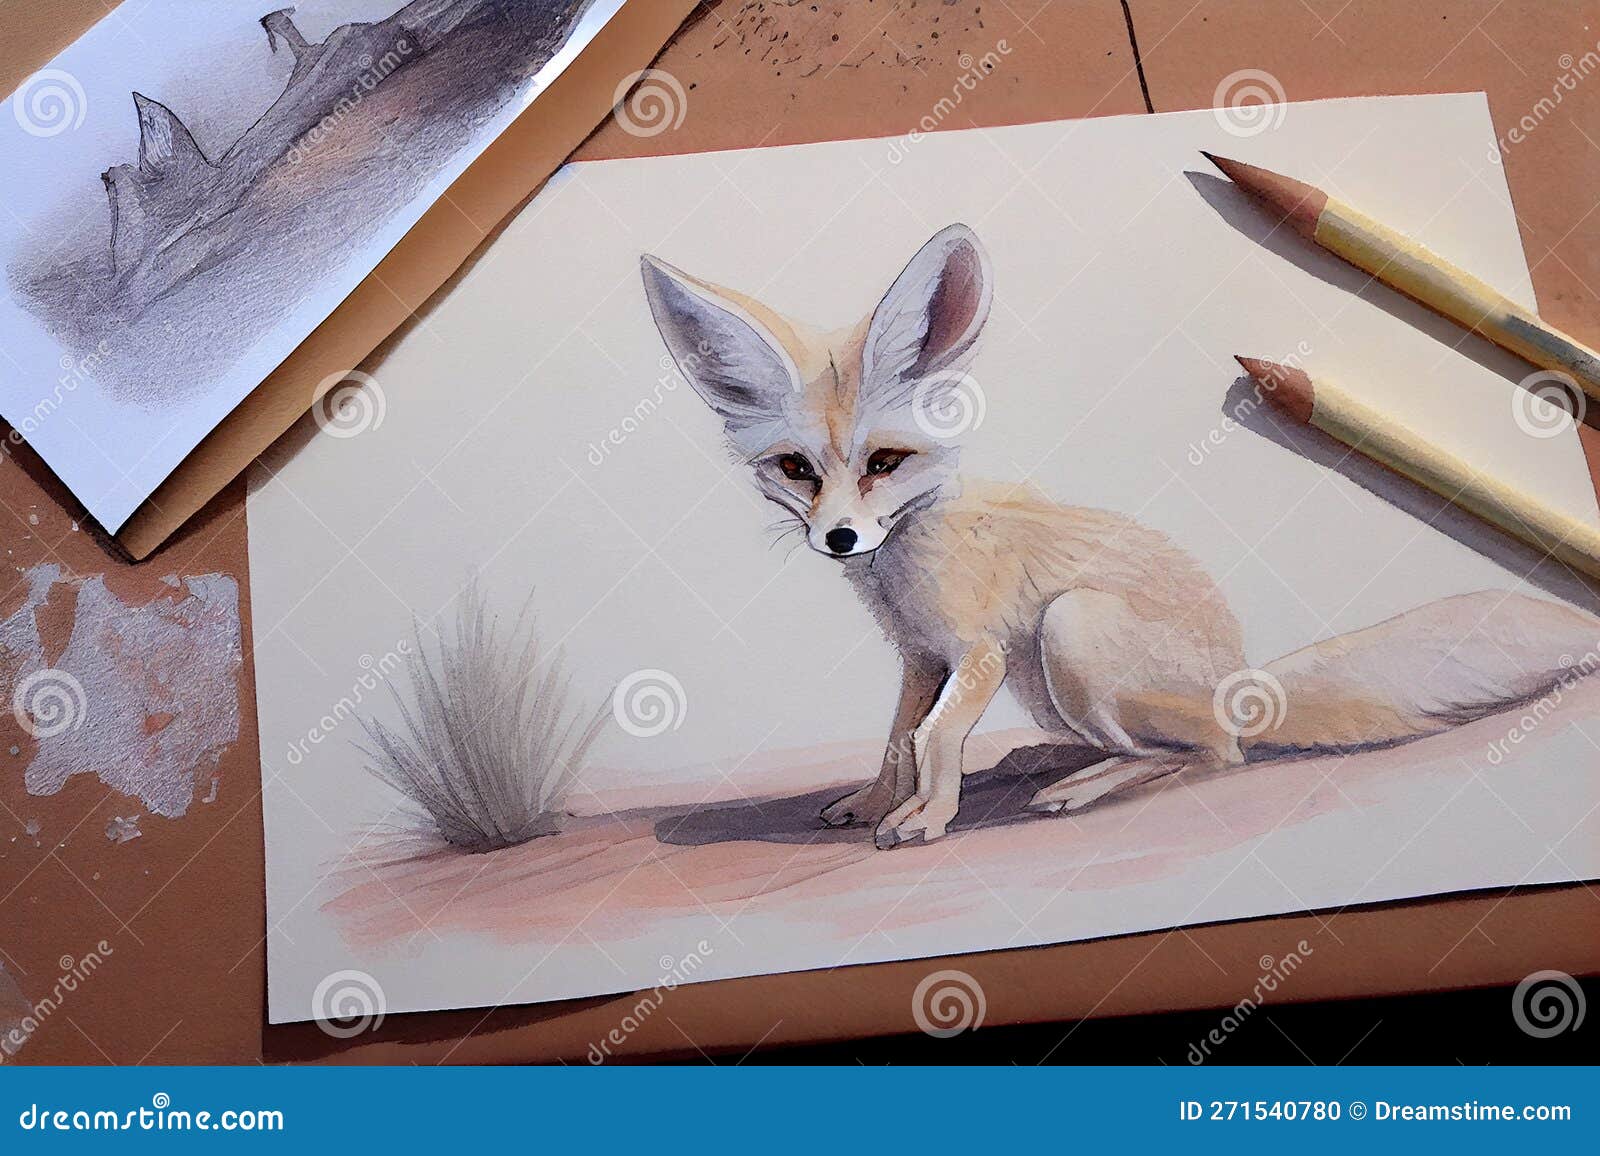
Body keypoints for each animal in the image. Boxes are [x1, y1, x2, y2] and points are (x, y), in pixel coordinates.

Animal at [640, 223, 1600, 849]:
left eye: (883, 461)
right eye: (795, 469)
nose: (840, 538)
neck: (907, 560)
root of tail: (1238, 683)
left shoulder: (977, 652)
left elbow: (935, 740)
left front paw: (926, 818)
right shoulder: (921, 656)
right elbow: (899, 737)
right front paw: (878, 802)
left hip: (1069, 631)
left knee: (1215, 754)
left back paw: (1084, 785)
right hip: (1045, 676)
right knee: (1164, 745)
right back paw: (1047, 759)